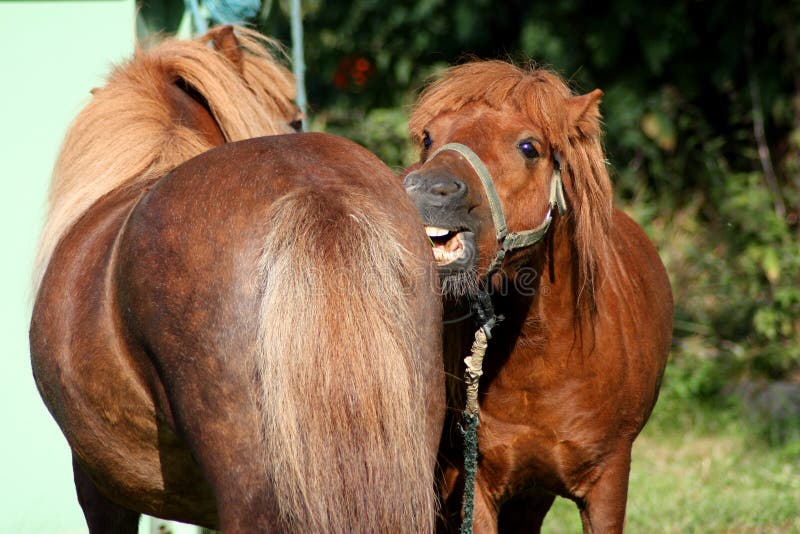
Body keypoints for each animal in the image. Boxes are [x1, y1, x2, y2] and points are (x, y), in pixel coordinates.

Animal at [402, 61, 673, 533]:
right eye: (429, 138)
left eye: (529, 147)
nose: (424, 190)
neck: (540, 359)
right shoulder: (475, 489)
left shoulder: (608, 483)